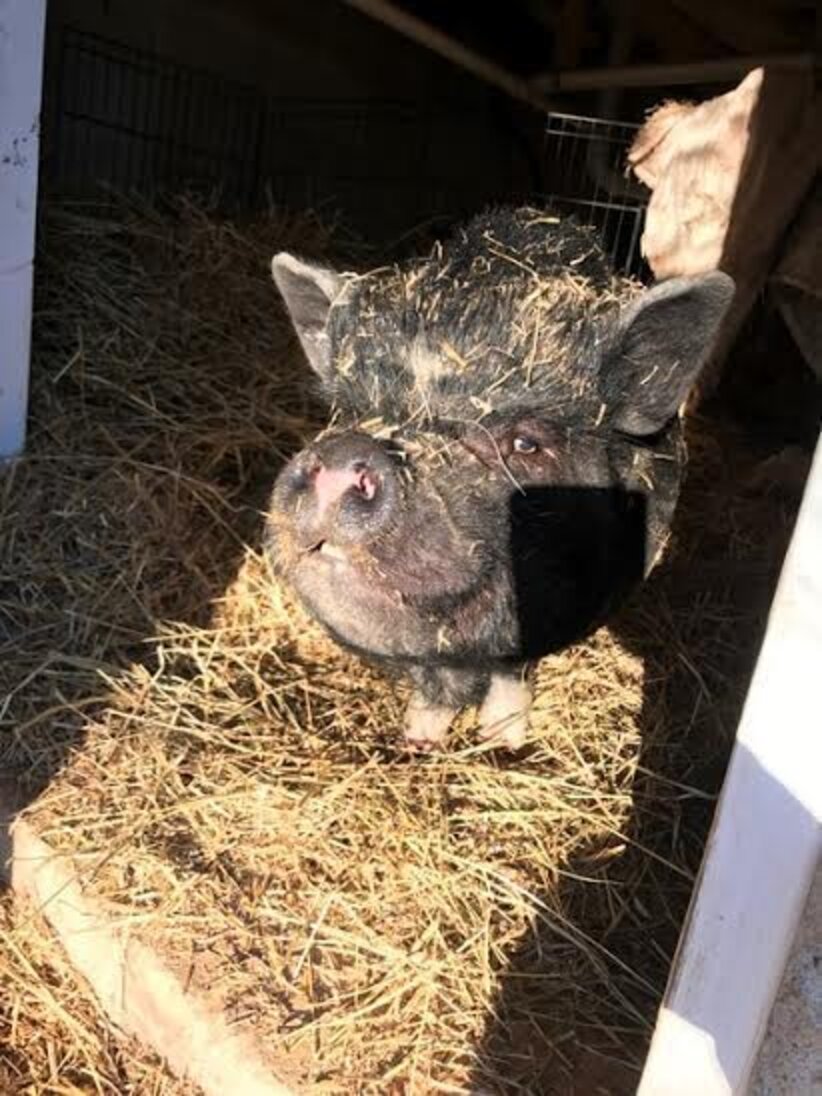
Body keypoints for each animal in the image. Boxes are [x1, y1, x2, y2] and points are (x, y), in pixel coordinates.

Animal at [266, 208, 733, 750]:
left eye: (525, 444)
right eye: (352, 412)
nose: (346, 453)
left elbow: (515, 670)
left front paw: (504, 741)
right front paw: (419, 739)